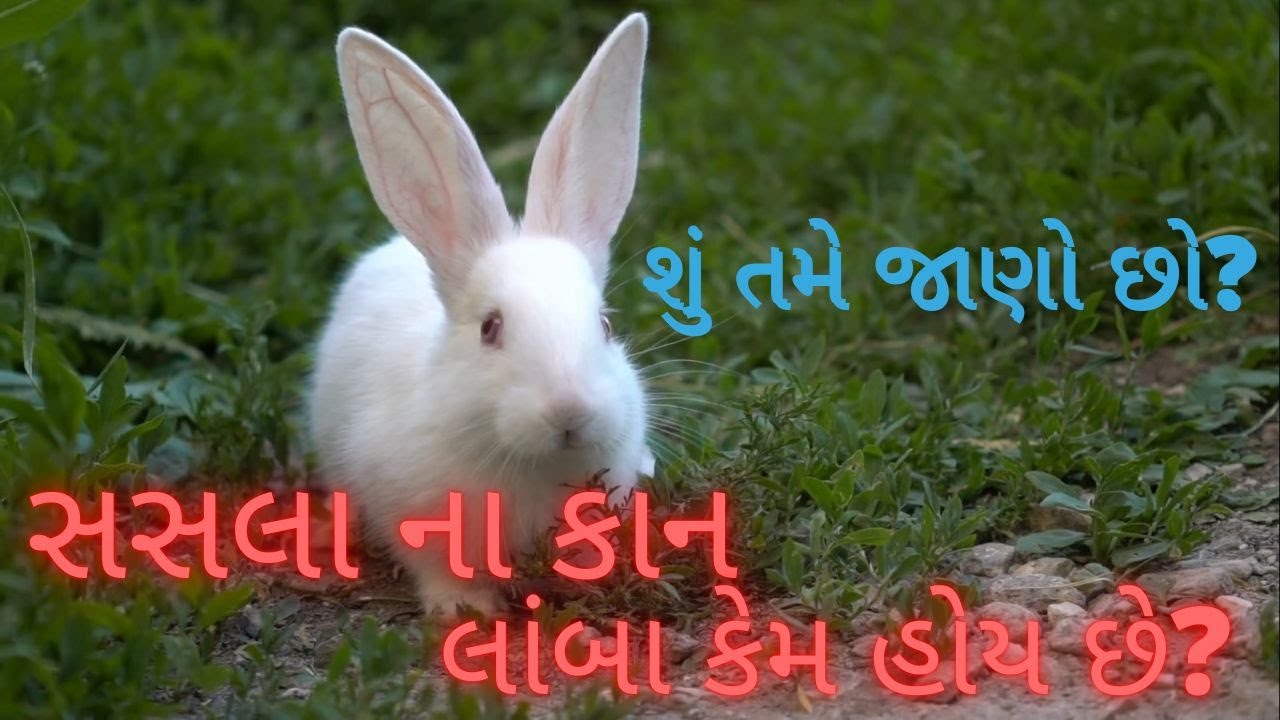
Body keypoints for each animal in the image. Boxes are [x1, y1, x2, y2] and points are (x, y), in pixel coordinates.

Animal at [309, 14, 654, 618]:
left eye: (605, 325)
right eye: (491, 328)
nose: (569, 411)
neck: (530, 463)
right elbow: (442, 570)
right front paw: (466, 610)